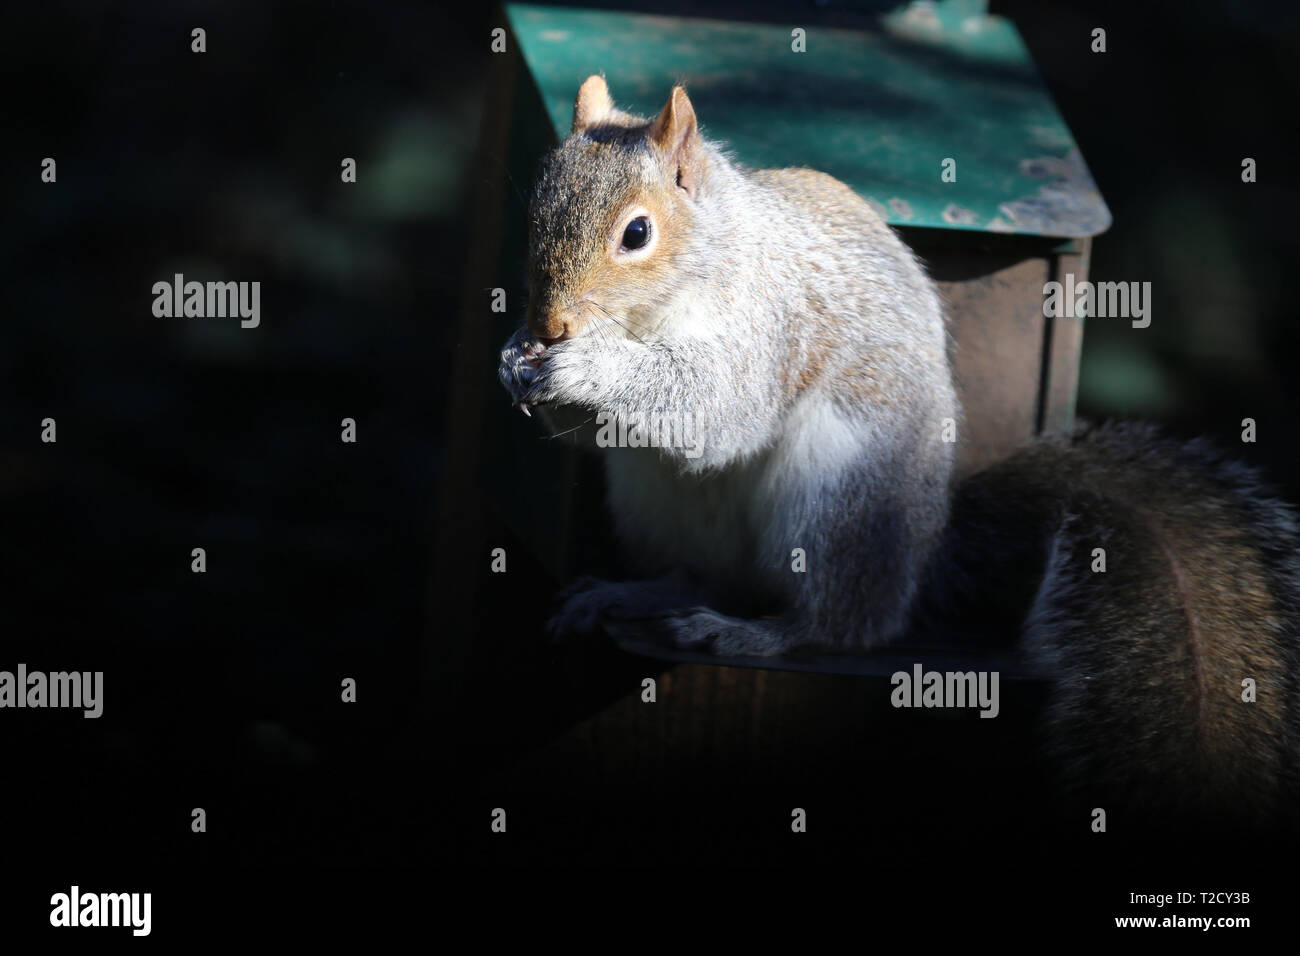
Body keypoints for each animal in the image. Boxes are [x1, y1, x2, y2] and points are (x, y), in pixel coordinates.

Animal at [498, 75, 1300, 822]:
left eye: (637, 234)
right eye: (533, 214)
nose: (550, 324)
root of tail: (925, 546)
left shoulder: (765, 324)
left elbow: (716, 408)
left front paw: (588, 365)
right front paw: (515, 359)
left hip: (838, 493)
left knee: (848, 622)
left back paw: (758, 635)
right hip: (655, 498)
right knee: (706, 575)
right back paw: (635, 592)